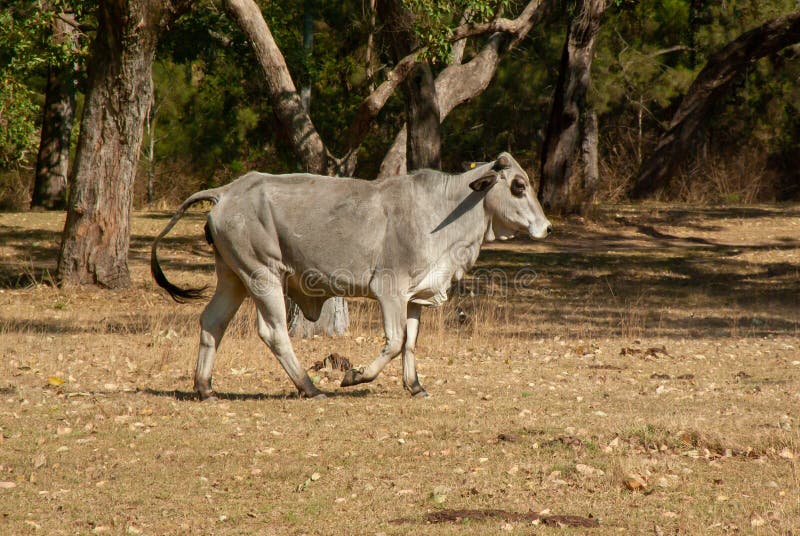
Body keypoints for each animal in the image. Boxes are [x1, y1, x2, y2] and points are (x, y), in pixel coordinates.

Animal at [150, 152, 552, 400]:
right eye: (518, 186)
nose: (546, 227)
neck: (442, 210)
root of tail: (228, 191)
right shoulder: (389, 290)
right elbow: (394, 341)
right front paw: (355, 375)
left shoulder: (415, 296)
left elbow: (410, 343)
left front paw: (415, 386)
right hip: (263, 275)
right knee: (273, 332)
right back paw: (310, 387)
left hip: (233, 277)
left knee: (212, 322)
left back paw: (205, 388)